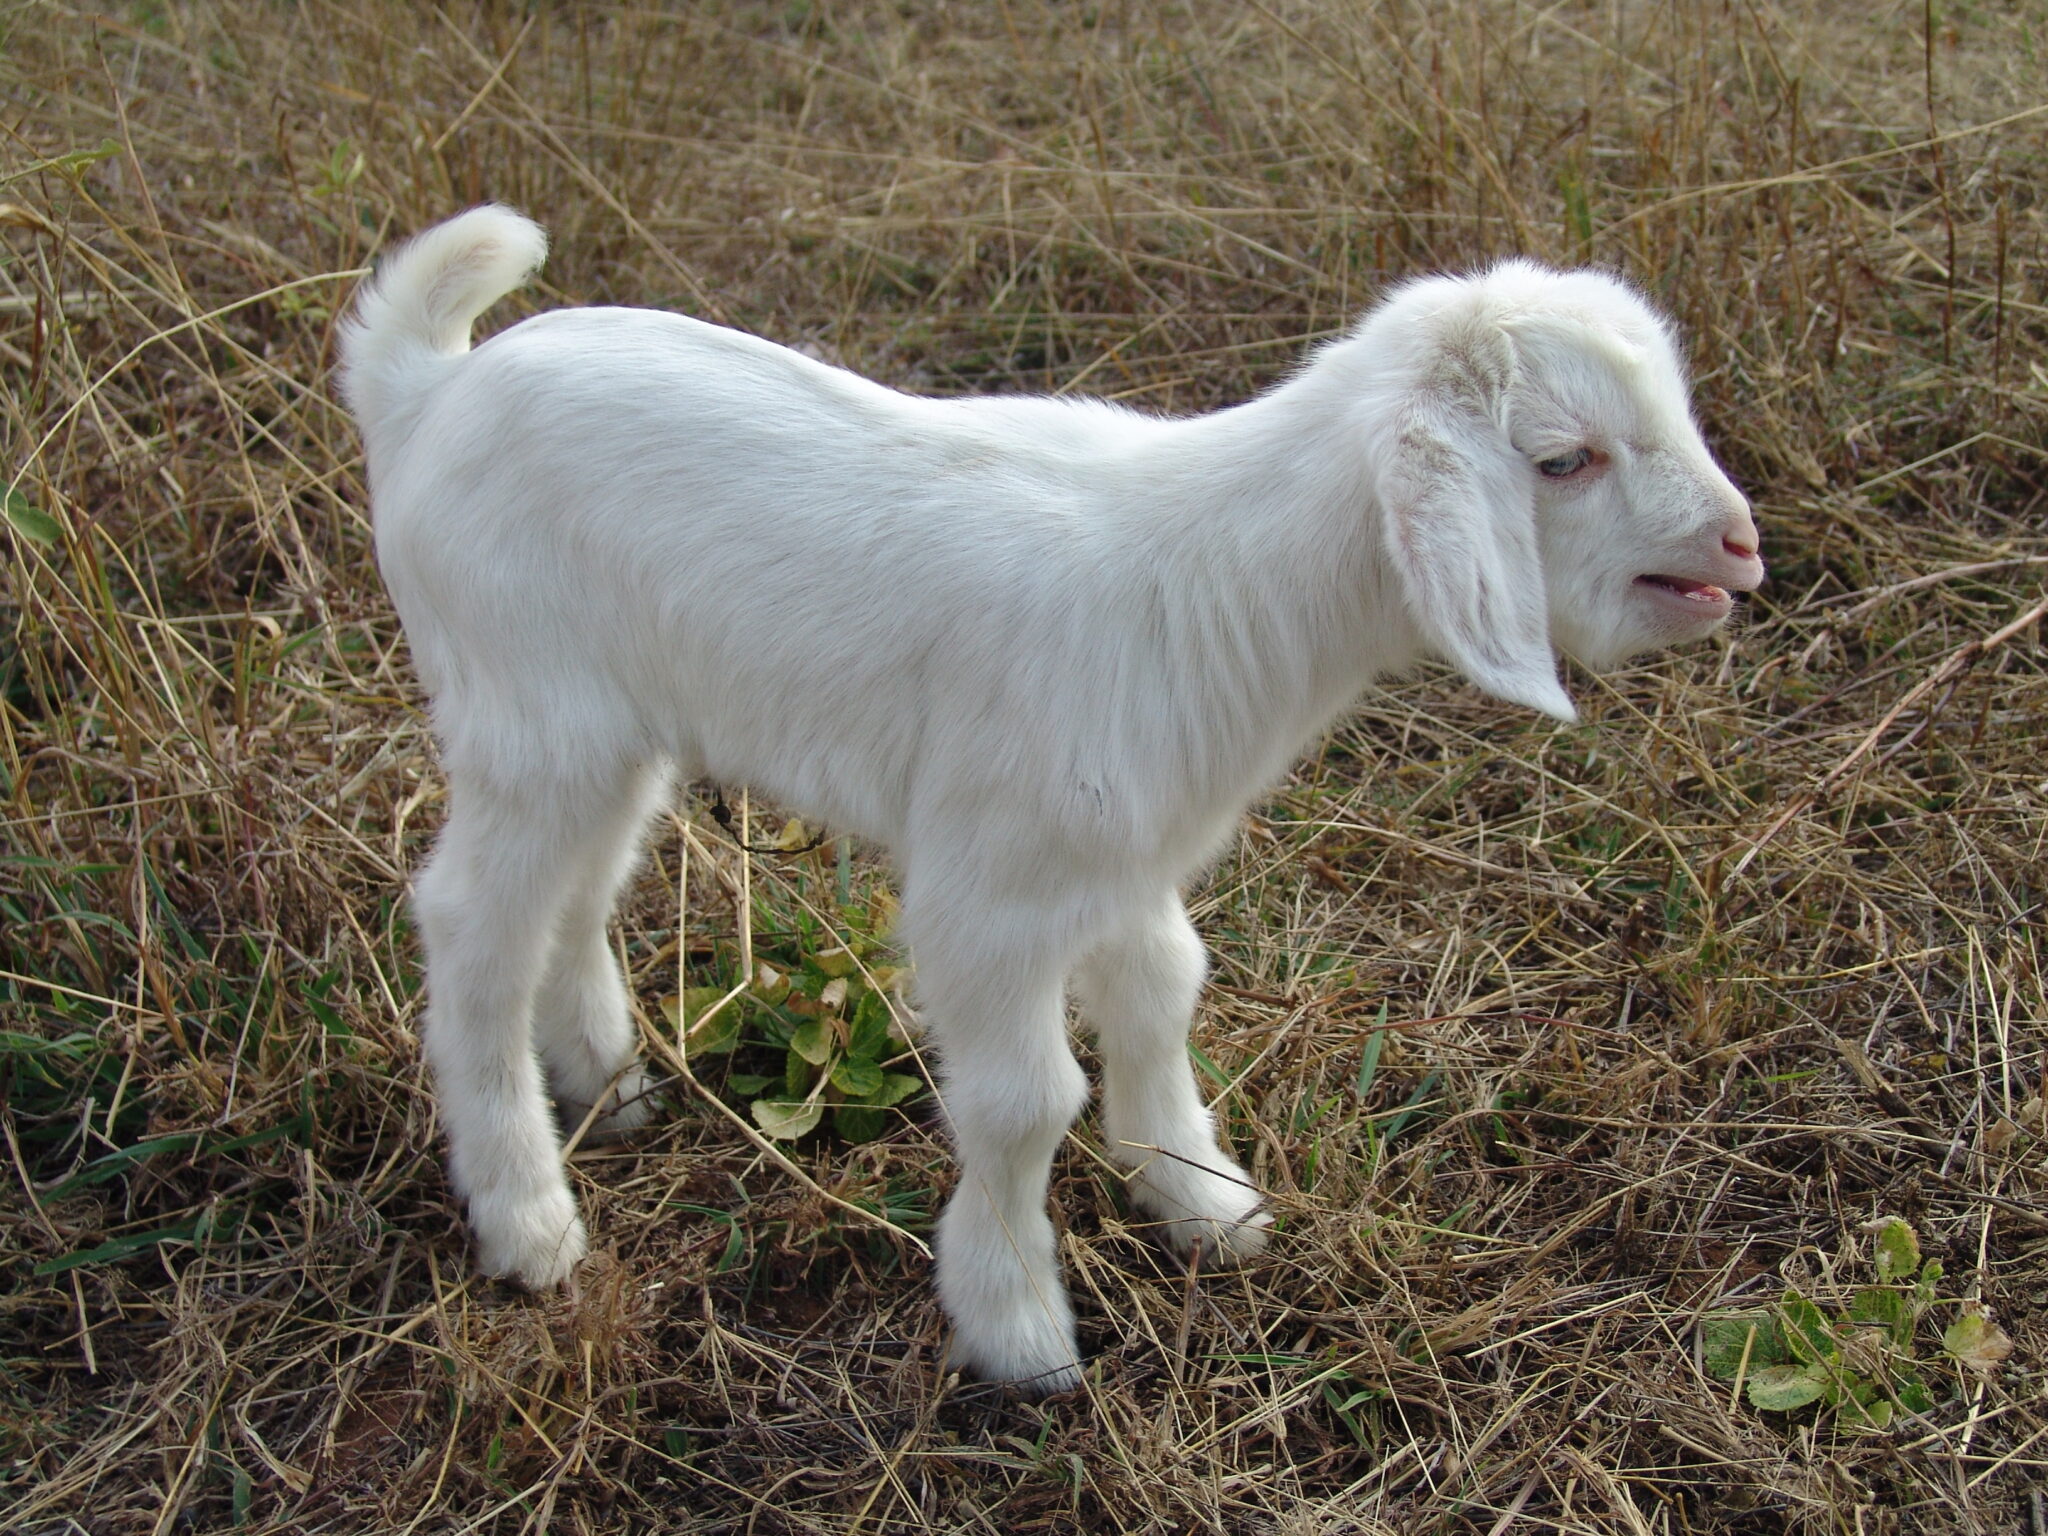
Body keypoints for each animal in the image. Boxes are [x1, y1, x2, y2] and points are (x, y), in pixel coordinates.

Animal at [339, 205, 1763, 1395]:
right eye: (1563, 461)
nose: (1738, 544)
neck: (1213, 583)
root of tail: (425, 391)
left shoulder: (1126, 853)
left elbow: (1163, 994)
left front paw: (1198, 1197)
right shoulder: (994, 887)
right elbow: (1025, 1104)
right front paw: (1017, 1327)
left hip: (611, 724)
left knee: (577, 889)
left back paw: (609, 1081)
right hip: (528, 706)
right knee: (469, 924)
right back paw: (527, 1216)